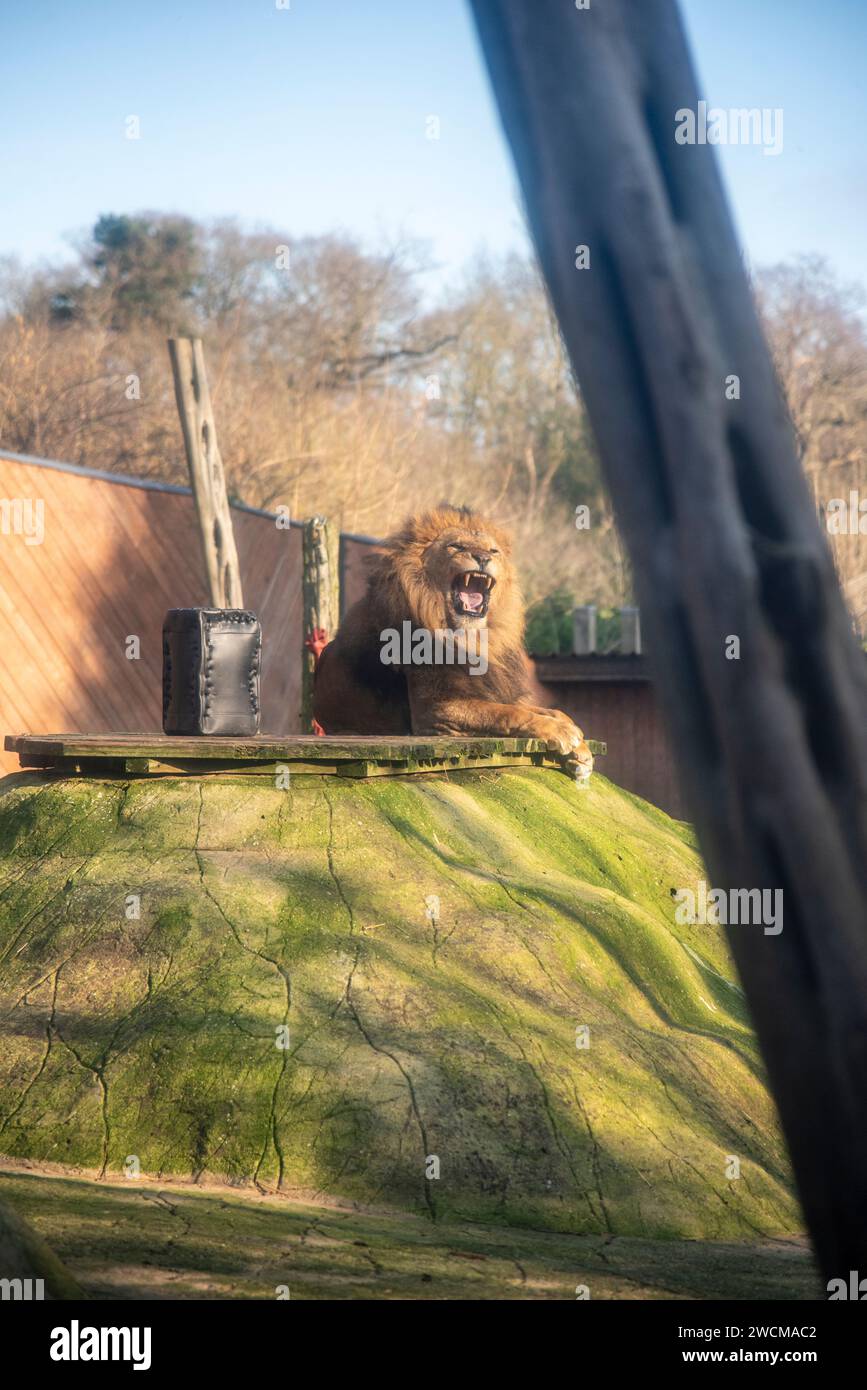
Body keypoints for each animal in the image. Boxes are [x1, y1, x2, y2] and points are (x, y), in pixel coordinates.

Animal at [313, 506, 593, 777]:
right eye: (456, 546)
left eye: (493, 551)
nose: (483, 558)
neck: (472, 639)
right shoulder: (435, 710)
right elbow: (507, 713)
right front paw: (562, 732)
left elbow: (548, 710)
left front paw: (580, 746)